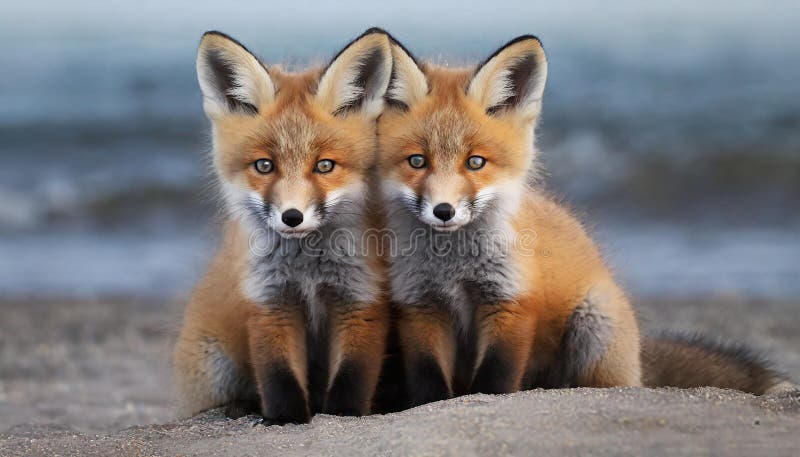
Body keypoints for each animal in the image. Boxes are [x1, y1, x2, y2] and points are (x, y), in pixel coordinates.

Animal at [173, 28, 395, 424]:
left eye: (324, 166)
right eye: (264, 166)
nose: (292, 216)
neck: (307, 270)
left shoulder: (360, 298)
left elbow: (353, 377)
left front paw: (342, 414)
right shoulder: (270, 301)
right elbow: (279, 377)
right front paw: (284, 419)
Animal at [376, 34, 795, 406]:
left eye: (475, 162)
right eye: (417, 161)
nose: (443, 211)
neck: (454, 267)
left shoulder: (511, 303)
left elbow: (495, 377)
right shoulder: (421, 307)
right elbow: (428, 378)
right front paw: (429, 405)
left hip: (593, 325)